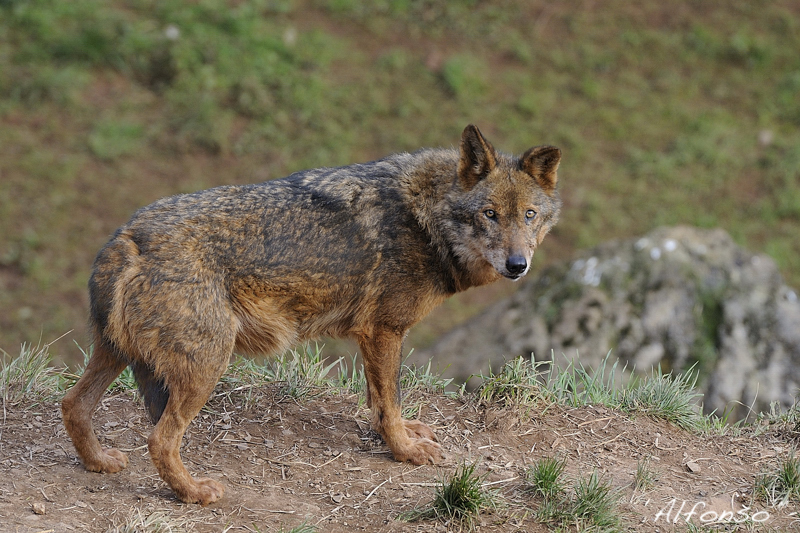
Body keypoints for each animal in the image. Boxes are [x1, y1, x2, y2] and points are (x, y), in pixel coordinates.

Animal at [61, 125, 562, 505]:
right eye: (490, 214)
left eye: (530, 215)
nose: (518, 265)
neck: (426, 219)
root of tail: (128, 238)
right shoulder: (384, 330)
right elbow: (390, 402)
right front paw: (405, 451)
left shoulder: (373, 336)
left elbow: (381, 403)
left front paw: (402, 435)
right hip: (205, 367)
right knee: (159, 441)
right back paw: (195, 493)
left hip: (116, 353)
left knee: (73, 404)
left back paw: (100, 464)